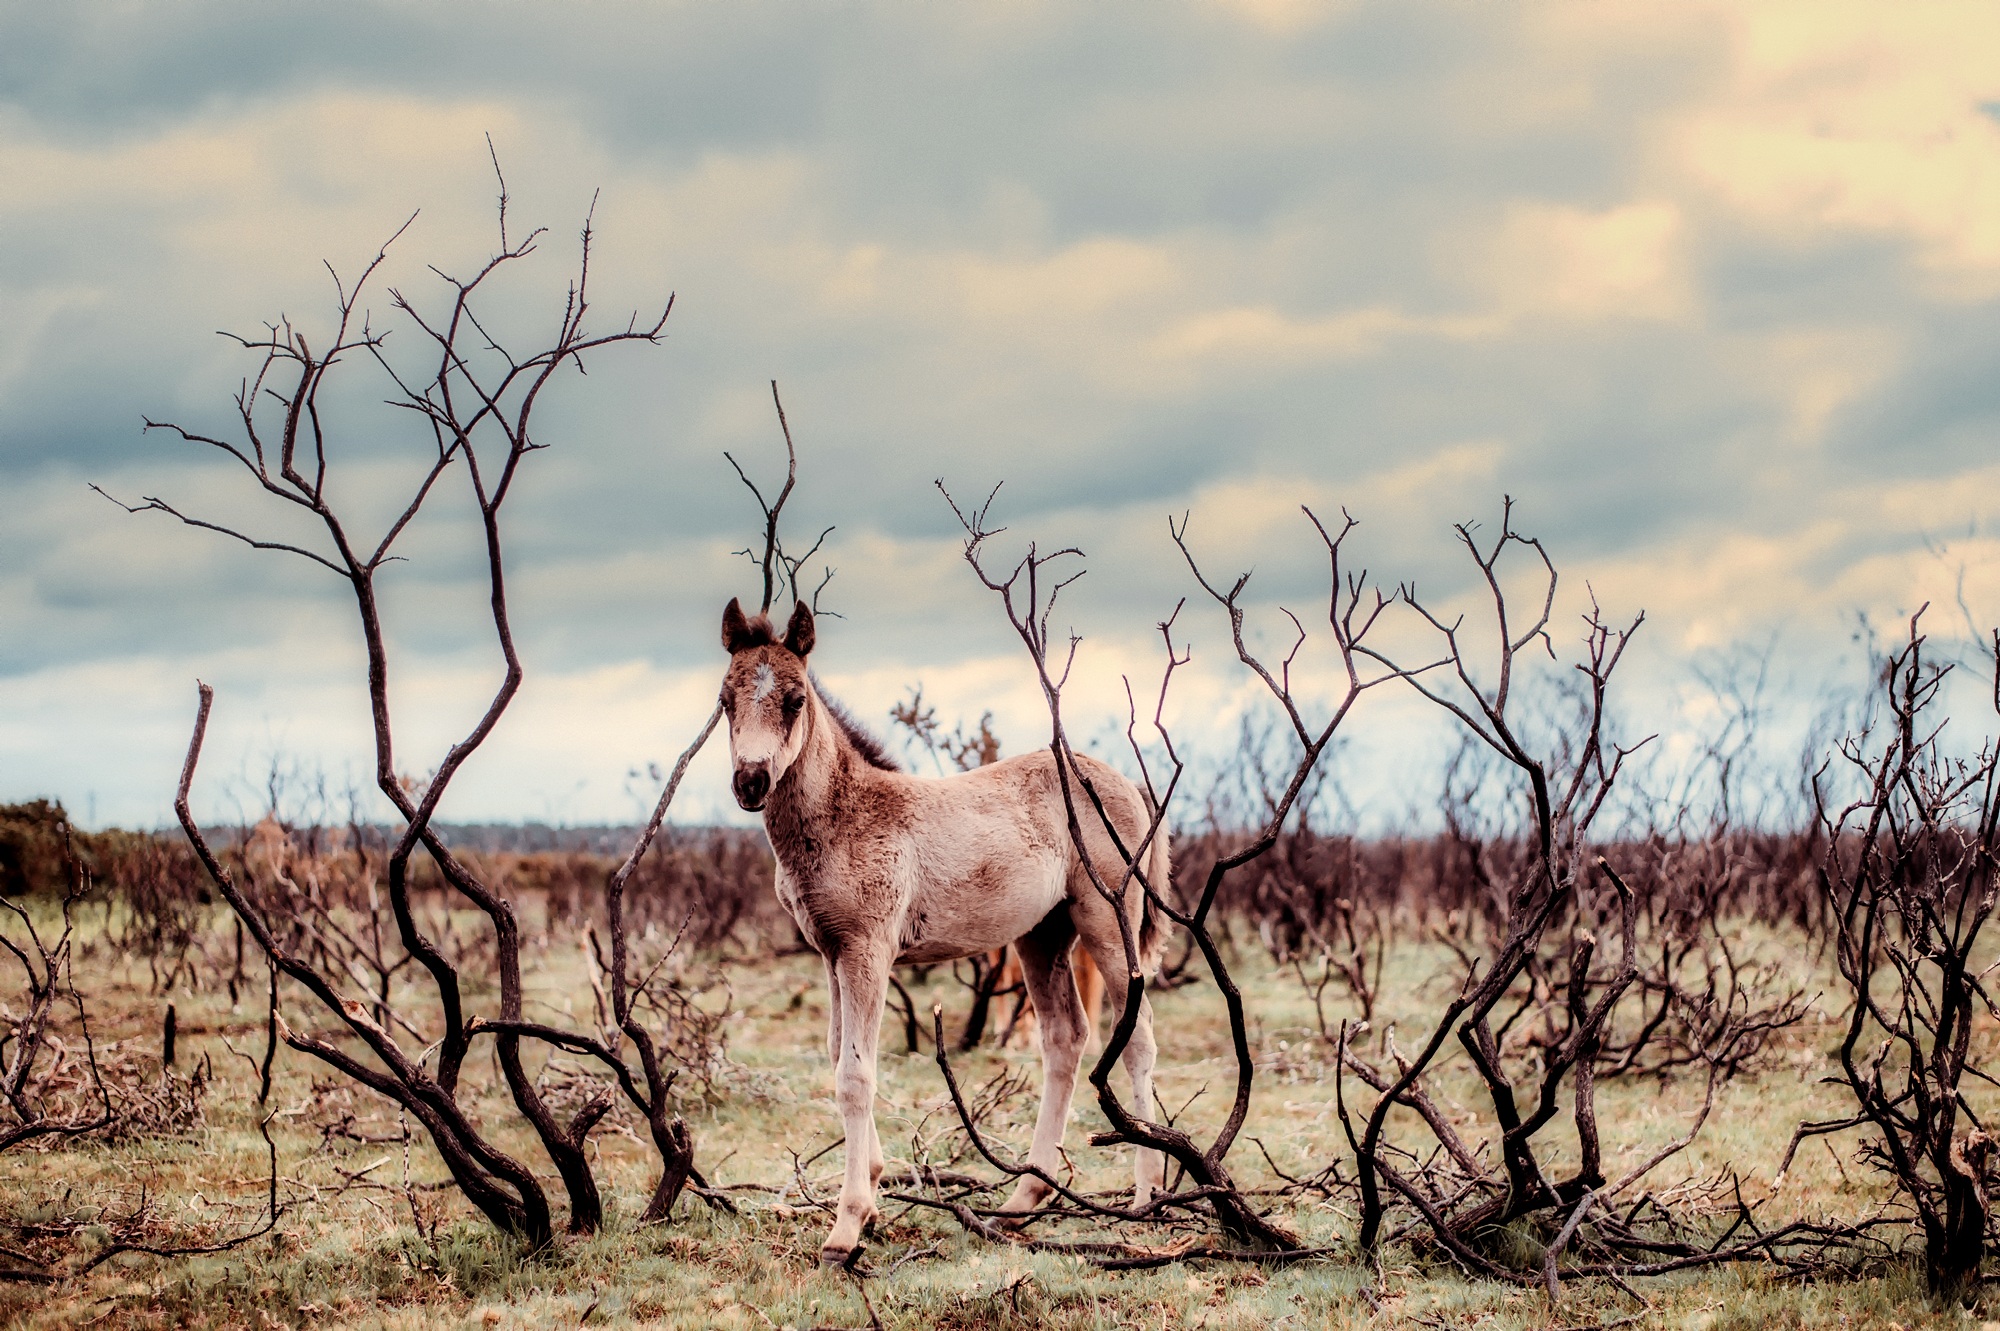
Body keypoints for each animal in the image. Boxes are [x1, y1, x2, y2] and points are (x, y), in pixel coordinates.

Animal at [717, 597, 1170, 1264]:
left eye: (796, 699)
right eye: (726, 700)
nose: (750, 783)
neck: (842, 815)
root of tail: (1125, 783)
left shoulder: (867, 951)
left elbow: (855, 1076)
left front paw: (846, 1227)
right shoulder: (829, 952)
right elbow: (838, 1054)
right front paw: (873, 1186)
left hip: (1108, 922)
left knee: (1134, 1037)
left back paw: (1144, 1198)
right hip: (1042, 935)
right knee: (1065, 1037)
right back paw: (1022, 1200)